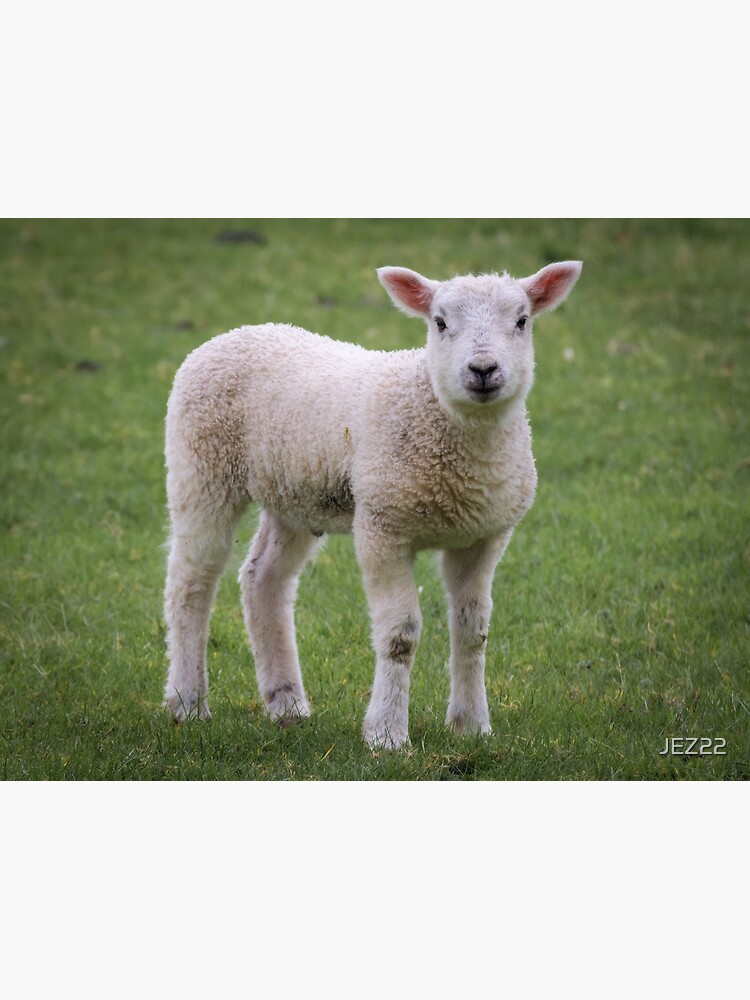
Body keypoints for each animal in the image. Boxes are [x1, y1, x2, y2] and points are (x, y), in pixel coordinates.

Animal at [163, 260, 582, 748]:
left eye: (522, 321)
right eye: (439, 322)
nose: (482, 369)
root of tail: (238, 332)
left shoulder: (483, 536)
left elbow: (472, 631)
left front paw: (472, 727)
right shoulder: (383, 526)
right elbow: (401, 635)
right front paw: (386, 734)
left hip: (294, 494)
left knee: (262, 579)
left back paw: (286, 703)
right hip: (201, 466)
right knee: (190, 583)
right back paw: (188, 702)